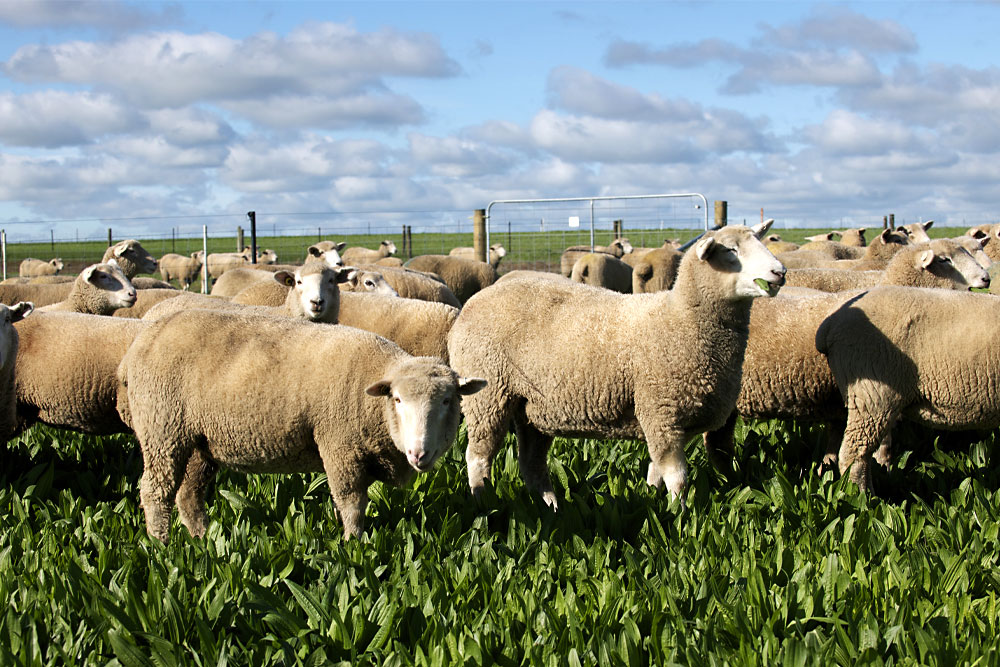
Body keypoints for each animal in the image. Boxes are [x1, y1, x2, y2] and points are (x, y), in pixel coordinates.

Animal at [117, 308, 486, 542]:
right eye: (396, 399)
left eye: (448, 400)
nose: (419, 453)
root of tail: (140, 342)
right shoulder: (339, 447)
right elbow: (352, 504)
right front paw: (355, 547)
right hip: (162, 429)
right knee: (155, 491)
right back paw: (161, 546)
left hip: (196, 441)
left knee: (188, 495)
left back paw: (201, 541)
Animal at [448, 222, 785, 507]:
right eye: (731, 251)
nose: (780, 271)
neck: (681, 318)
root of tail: (473, 303)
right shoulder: (661, 410)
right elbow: (677, 479)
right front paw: (680, 518)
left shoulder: (665, 418)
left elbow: (655, 473)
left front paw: (656, 504)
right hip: (488, 395)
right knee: (477, 457)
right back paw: (483, 502)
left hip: (530, 408)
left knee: (531, 465)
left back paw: (551, 508)